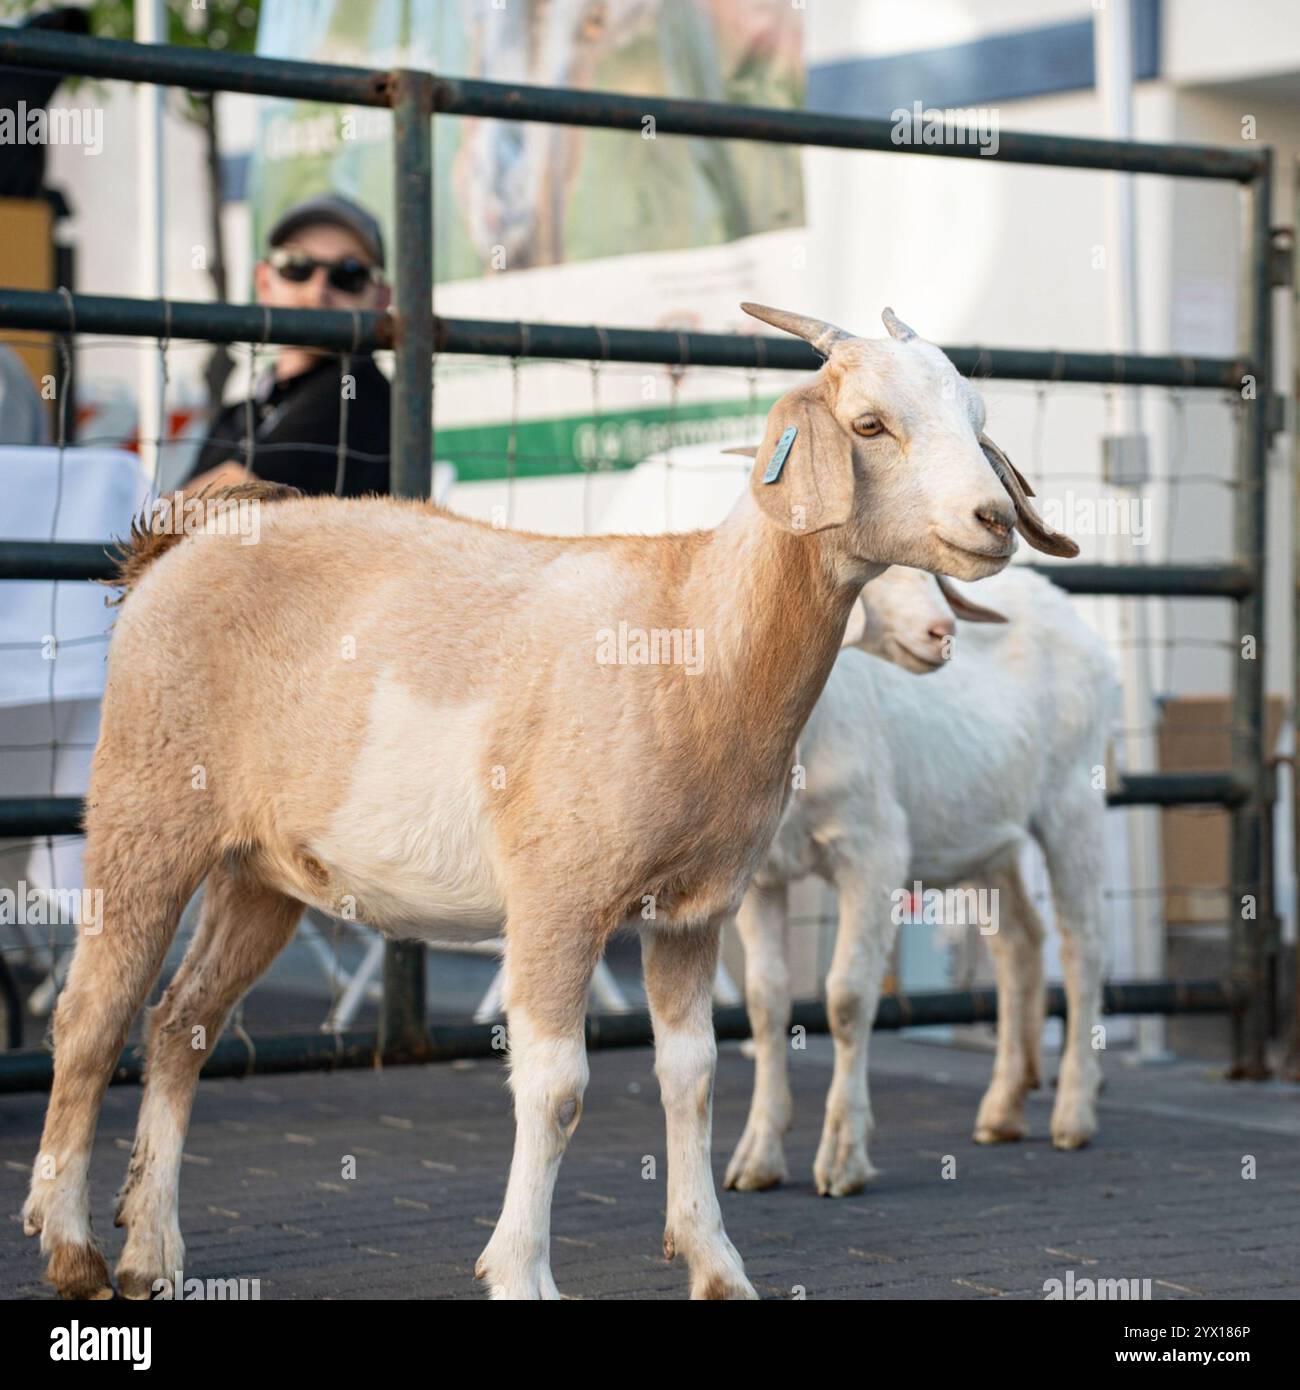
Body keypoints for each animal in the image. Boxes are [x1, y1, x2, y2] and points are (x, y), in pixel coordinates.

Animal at [23, 303, 1074, 1301]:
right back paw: (73, 1247)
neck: (689, 639)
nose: (993, 520)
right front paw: (521, 1271)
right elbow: (557, 1088)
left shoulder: (693, 911)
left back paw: (152, 1253)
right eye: (869, 423)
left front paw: (716, 1264)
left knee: (179, 1025)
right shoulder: (556, 899)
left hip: (262, 873)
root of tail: (178, 546)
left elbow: (692, 1076)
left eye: (979, 420)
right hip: (144, 808)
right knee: (91, 1018)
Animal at [723, 564, 1116, 1198]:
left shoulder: (873, 851)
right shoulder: (761, 879)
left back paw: (1074, 1116)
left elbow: (847, 997)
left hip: (1074, 801)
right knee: (1021, 943)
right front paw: (756, 1158)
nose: (943, 631)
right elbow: (765, 1003)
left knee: (1083, 946)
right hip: (983, 835)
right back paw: (1002, 1111)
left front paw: (843, 1158)